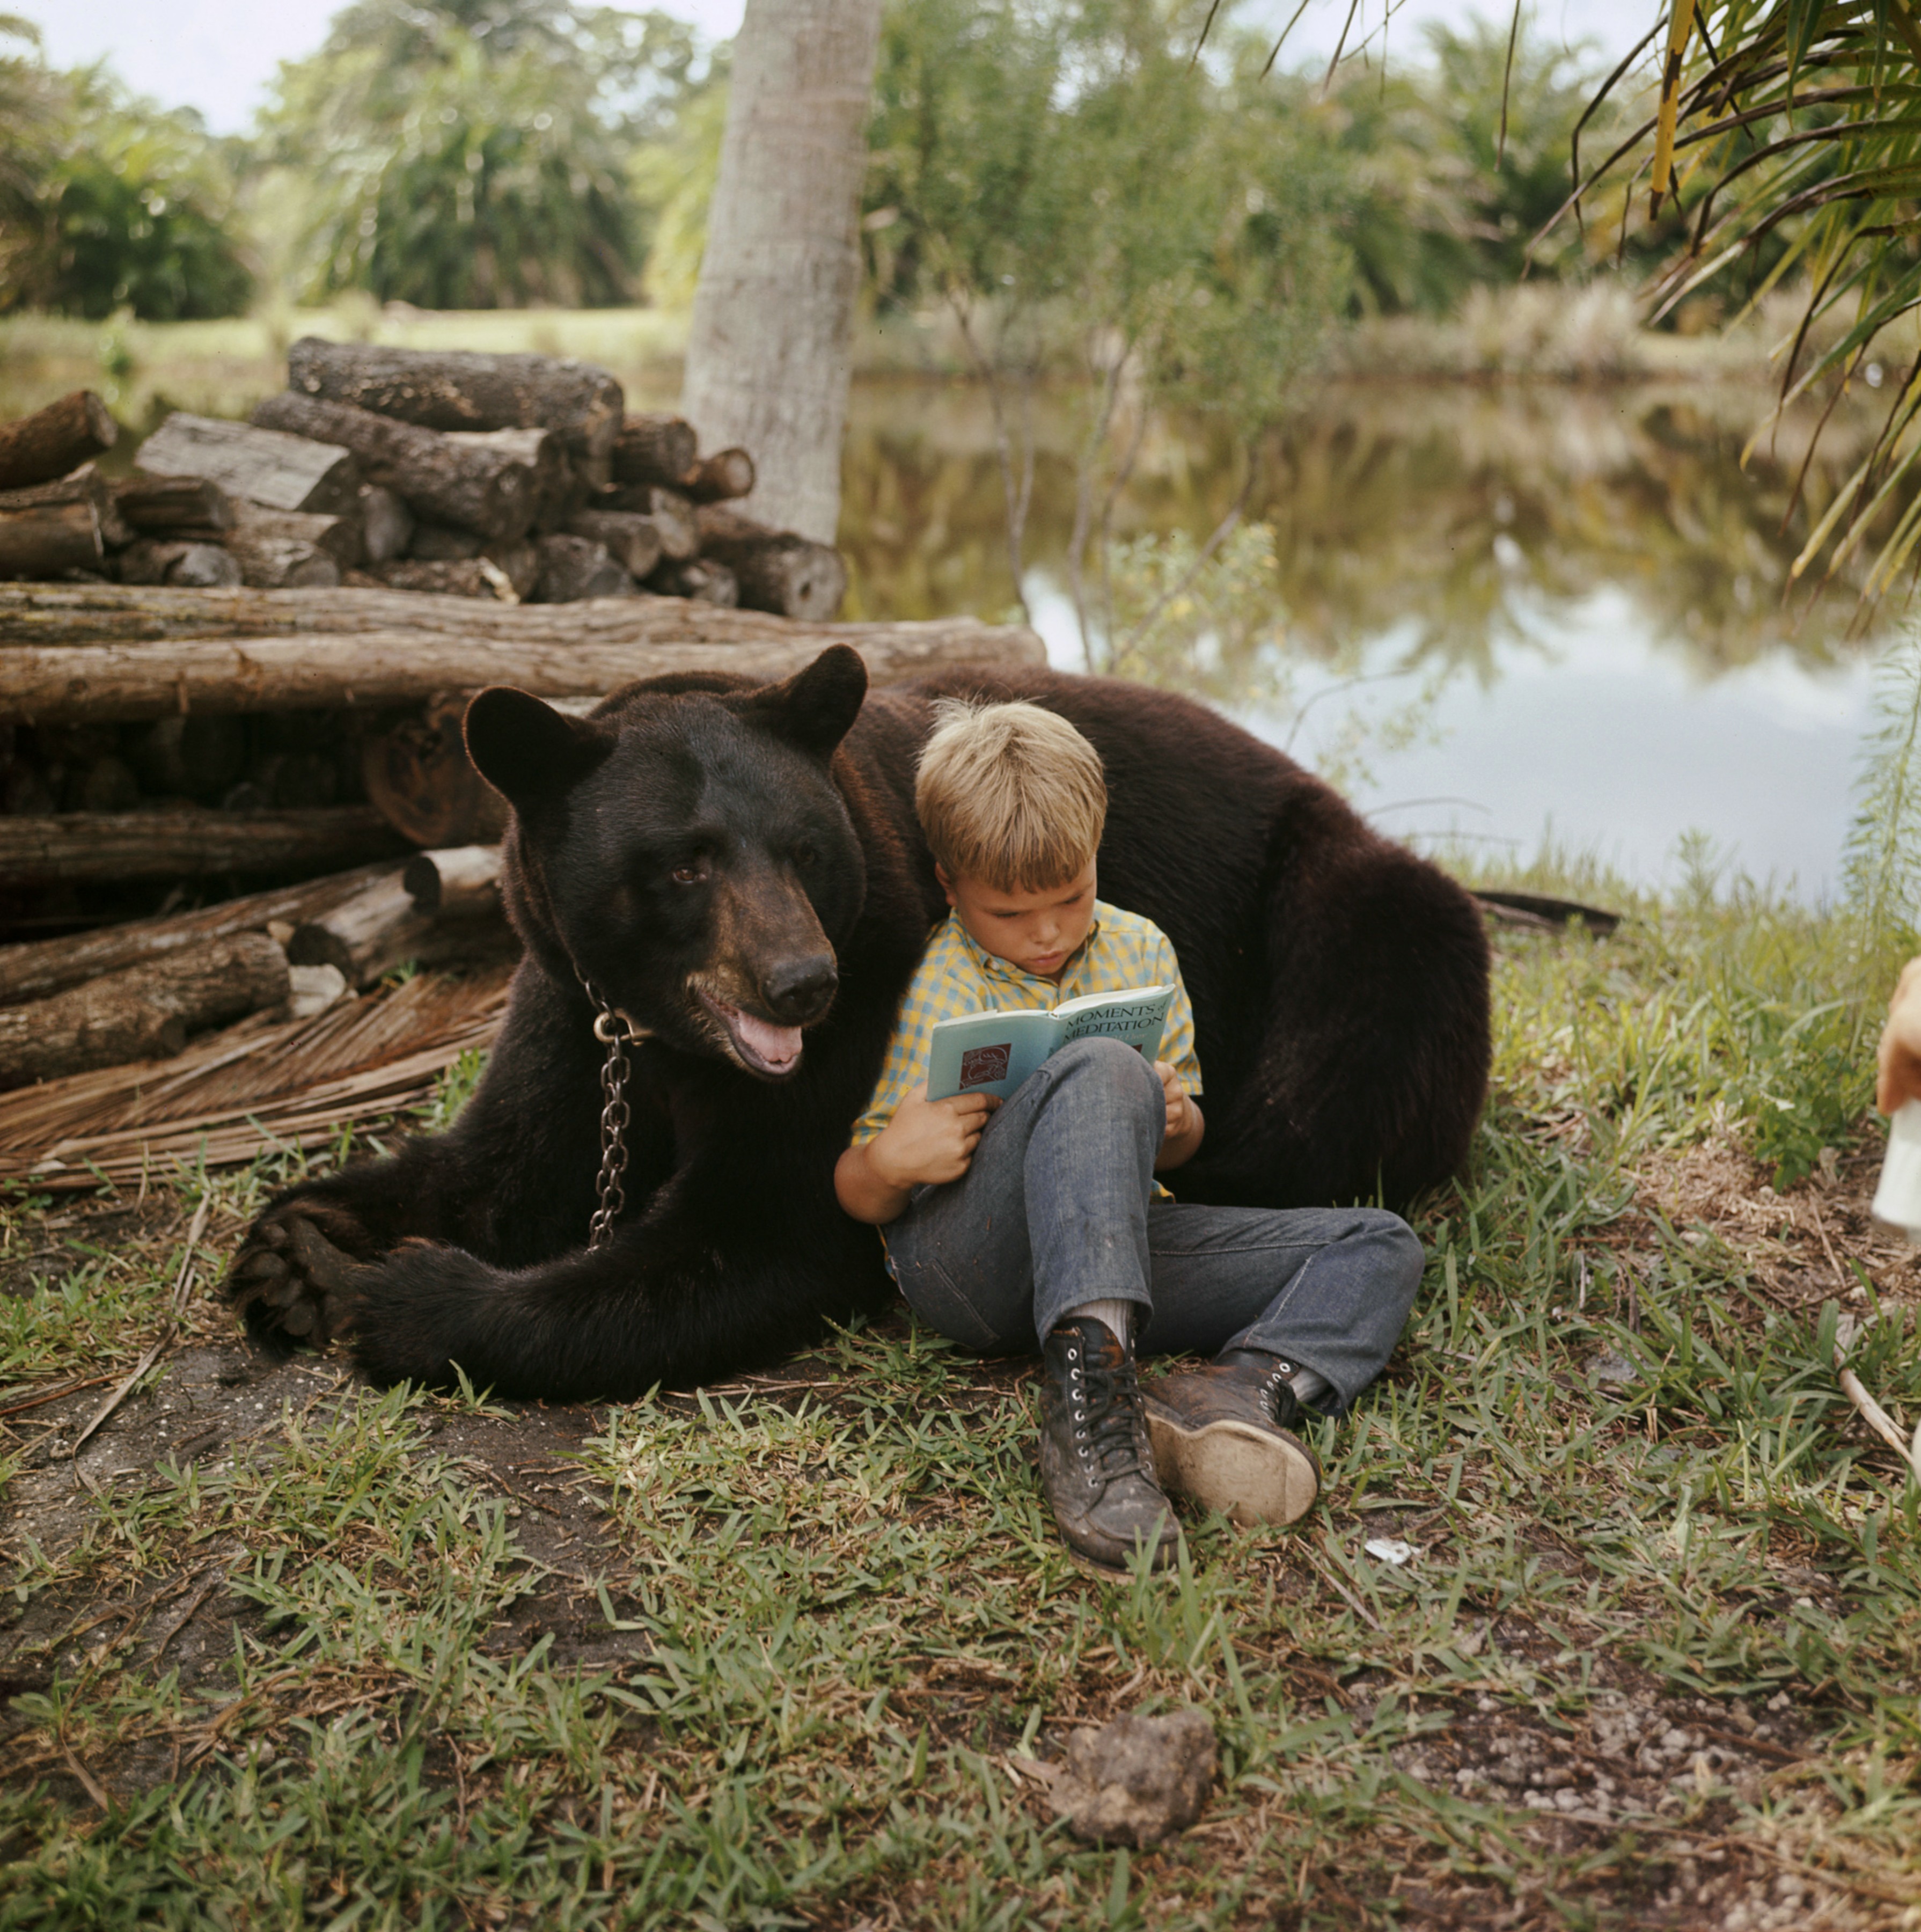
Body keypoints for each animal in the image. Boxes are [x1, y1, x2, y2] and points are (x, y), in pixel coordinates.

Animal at [221, 645, 1484, 1391]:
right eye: (681, 865)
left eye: (803, 849)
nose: (798, 984)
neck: (671, 1040)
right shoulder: (571, 1001)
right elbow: (508, 1161)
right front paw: (296, 1245)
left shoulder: (876, 979)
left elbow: (756, 1230)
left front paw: (398, 1298)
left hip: (1343, 915)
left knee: (1343, 1066)